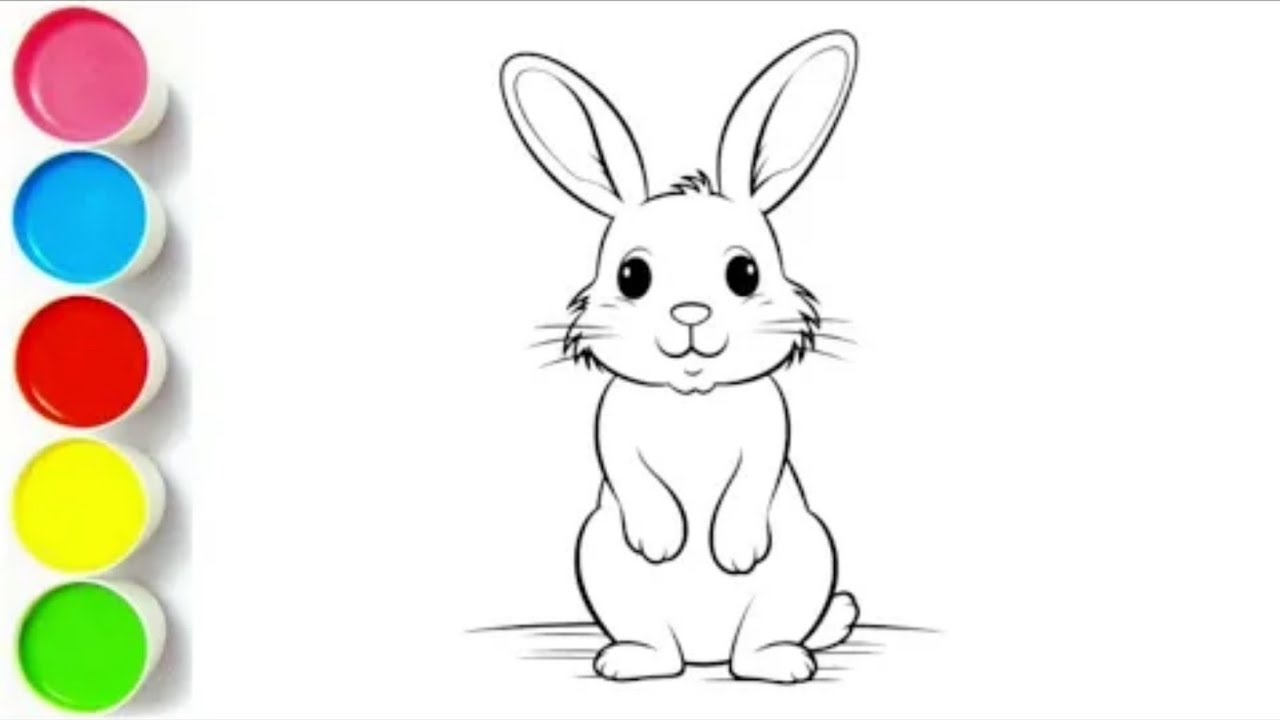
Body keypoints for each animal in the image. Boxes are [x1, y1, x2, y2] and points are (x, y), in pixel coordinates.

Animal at [500, 30, 860, 683]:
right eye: (632, 276)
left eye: (743, 273)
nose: (690, 312)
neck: (692, 401)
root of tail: (705, 651)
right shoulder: (614, 427)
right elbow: (629, 471)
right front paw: (662, 541)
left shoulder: (769, 427)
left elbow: (755, 477)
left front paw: (735, 550)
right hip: (605, 570)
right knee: (657, 648)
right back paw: (631, 661)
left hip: (806, 567)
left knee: (756, 646)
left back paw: (778, 662)